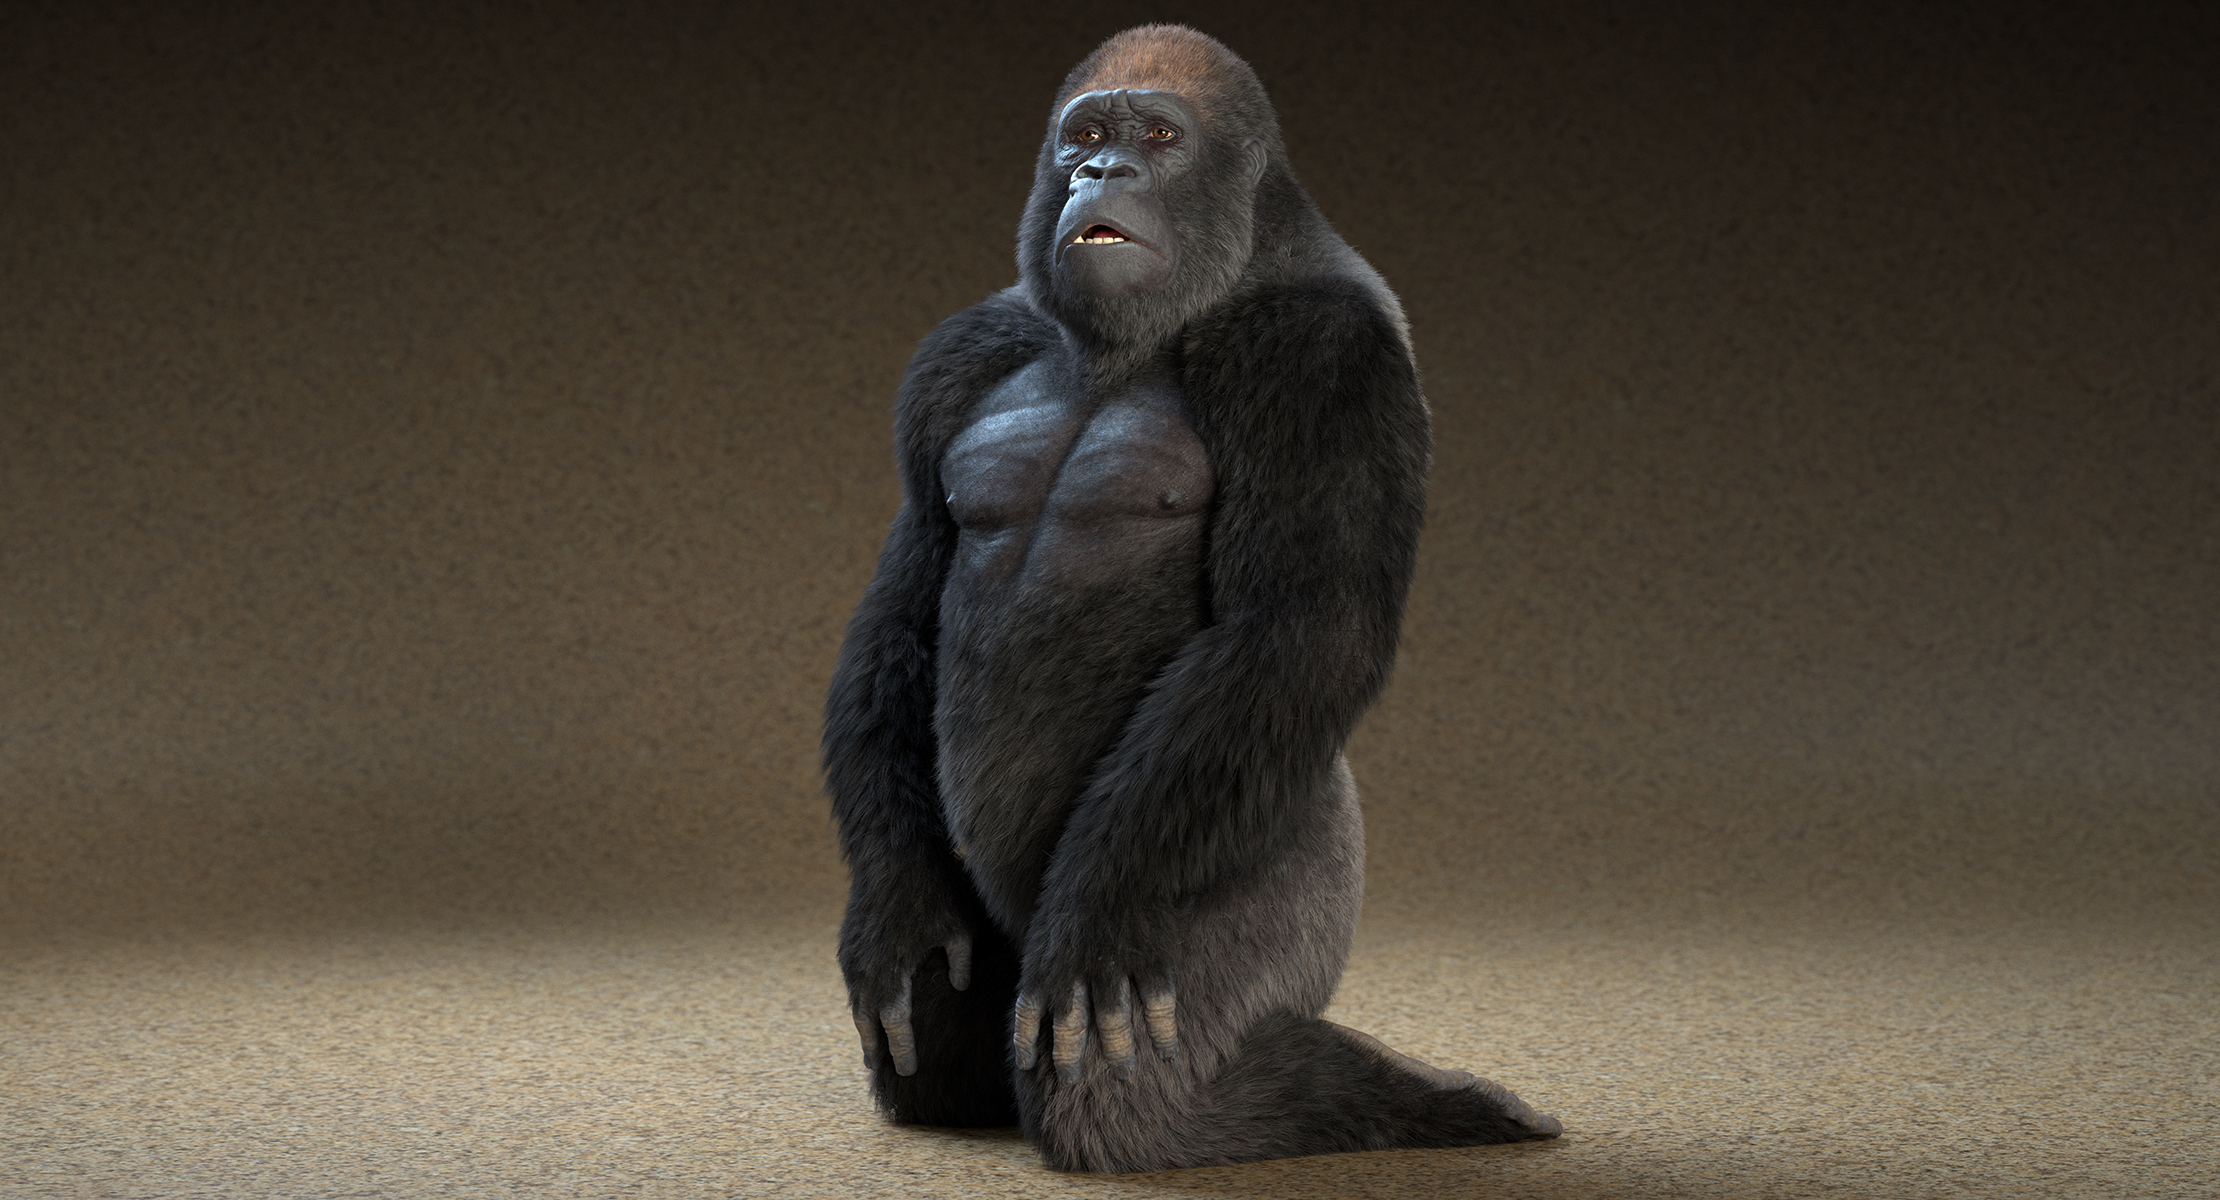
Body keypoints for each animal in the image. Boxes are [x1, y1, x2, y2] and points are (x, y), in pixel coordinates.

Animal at [822, 25, 1562, 1172]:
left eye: (1159, 138)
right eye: (1084, 133)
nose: (1102, 173)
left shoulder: (1321, 353)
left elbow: (1296, 626)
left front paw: (1101, 910)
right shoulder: (956, 358)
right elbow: (900, 615)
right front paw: (893, 909)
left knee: (1121, 1095)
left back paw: (1416, 1101)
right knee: (938, 1066)